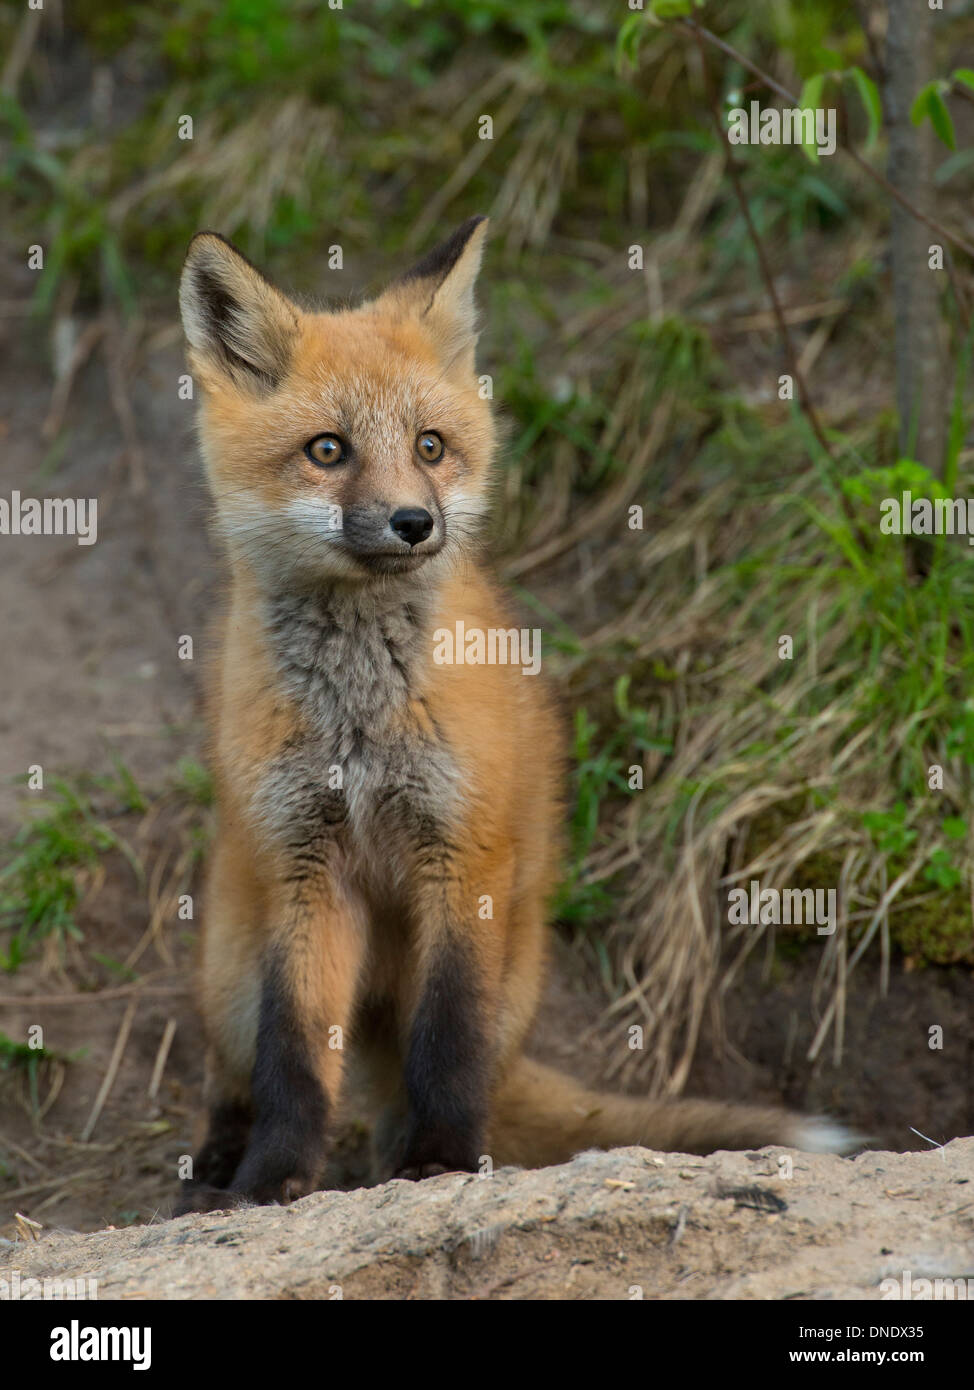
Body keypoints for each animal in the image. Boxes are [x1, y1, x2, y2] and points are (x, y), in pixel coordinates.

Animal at [174, 216, 853, 1213]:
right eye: (328, 450)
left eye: (429, 445)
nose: (414, 523)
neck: (362, 720)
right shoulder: (305, 866)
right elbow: (292, 1054)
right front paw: (273, 1181)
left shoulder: (465, 850)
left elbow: (448, 1036)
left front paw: (445, 1163)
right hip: (231, 960)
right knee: (239, 1073)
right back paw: (222, 1158)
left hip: (508, 970)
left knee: (439, 1076)